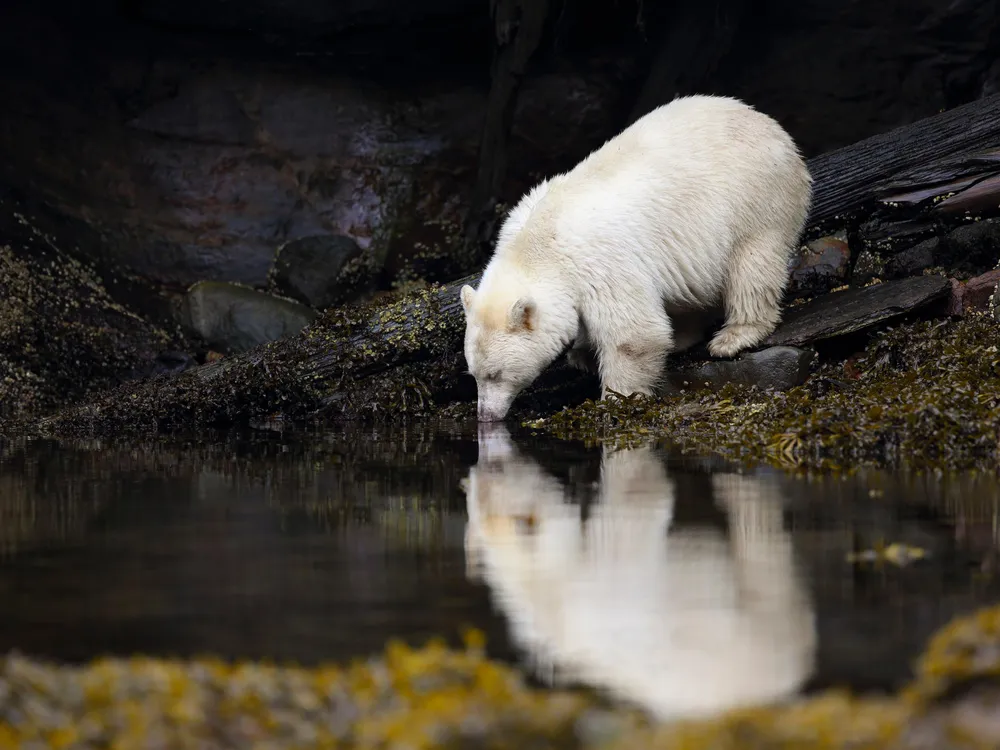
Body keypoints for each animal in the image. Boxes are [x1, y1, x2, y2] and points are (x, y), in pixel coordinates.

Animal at [460, 94, 813, 422]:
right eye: (473, 374)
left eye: (496, 374)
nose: (485, 415)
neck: (538, 243)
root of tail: (770, 125)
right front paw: (583, 355)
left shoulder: (600, 262)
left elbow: (632, 334)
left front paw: (617, 397)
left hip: (756, 197)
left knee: (752, 263)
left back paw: (734, 337)